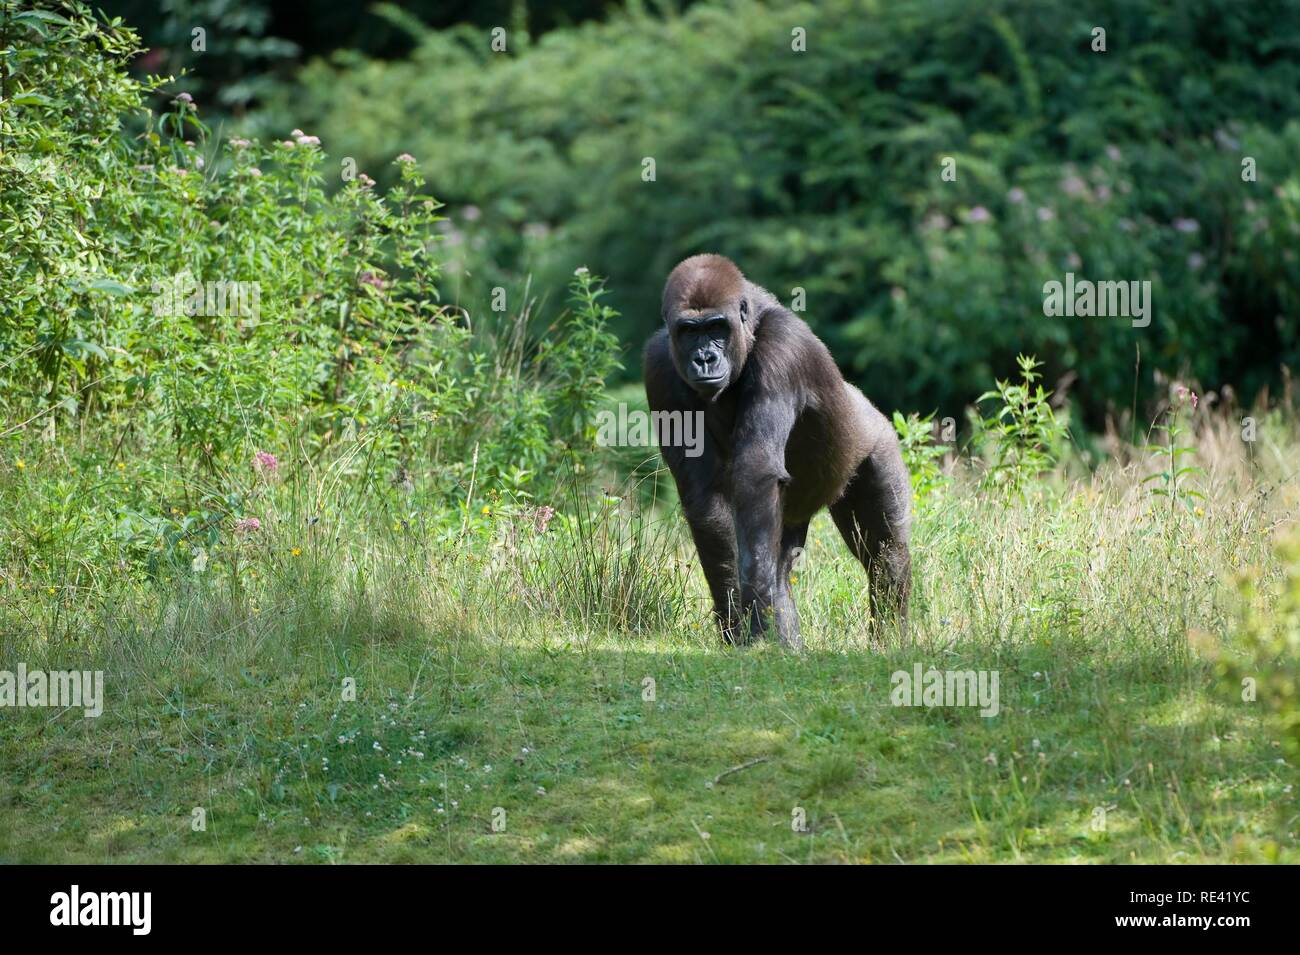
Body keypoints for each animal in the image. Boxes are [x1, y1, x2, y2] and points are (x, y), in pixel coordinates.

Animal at [644, 254, 911, 649]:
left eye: (717, 328)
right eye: (689, 331)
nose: (704, 358)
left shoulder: (784, 347)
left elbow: (755, 474)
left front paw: (749, 620)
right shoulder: (658, 365)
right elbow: (706, 499)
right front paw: (735, 617)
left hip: (878, 443)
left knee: (885, 553)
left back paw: (891, 638)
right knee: (781, 564)